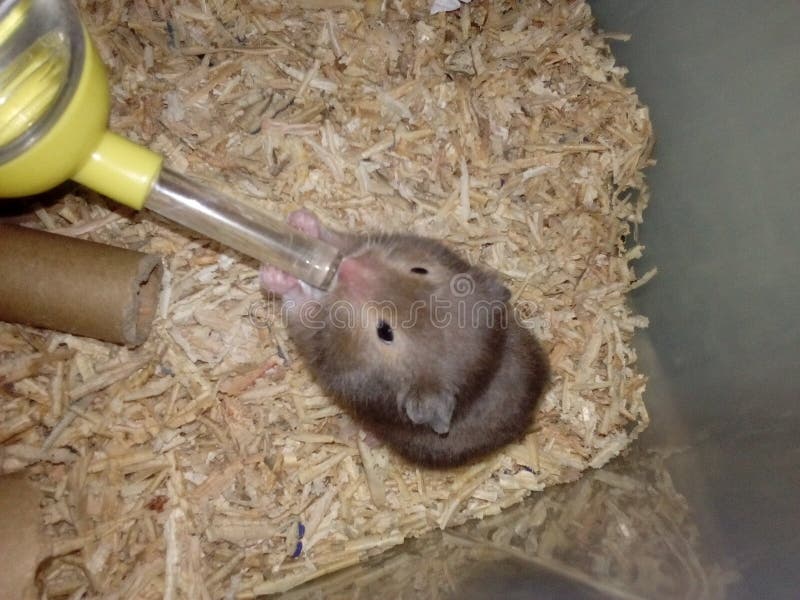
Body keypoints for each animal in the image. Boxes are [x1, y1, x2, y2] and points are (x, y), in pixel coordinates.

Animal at [260, 210, 549, 469]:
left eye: (385, 331)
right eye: (419, 269)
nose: (349, 266)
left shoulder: (321, 350)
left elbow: (299, 308)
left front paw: (273, 273)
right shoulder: (354, 245)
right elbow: (339, 240)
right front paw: (300, 219)